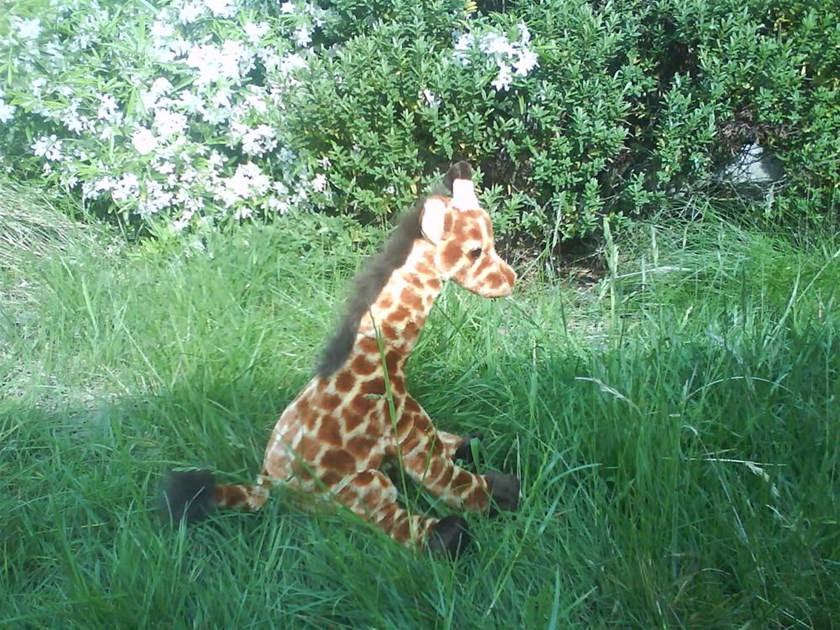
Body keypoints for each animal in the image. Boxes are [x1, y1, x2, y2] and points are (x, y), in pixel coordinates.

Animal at [161, 161, 520, 557]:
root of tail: (265, 489)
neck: (385, 360)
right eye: (475, 251)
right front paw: (508, 492)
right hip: (360, 486)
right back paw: (450, 534)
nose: (511, 279)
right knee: (393, 520)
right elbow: (456, 483)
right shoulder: (411, 435)